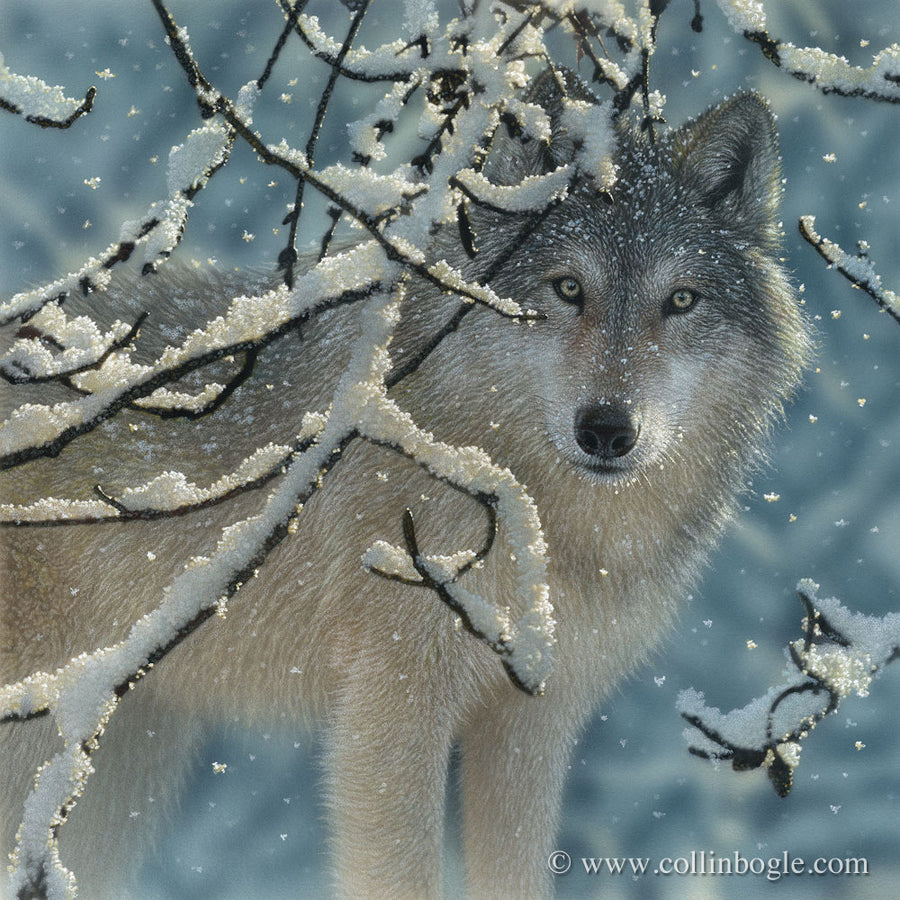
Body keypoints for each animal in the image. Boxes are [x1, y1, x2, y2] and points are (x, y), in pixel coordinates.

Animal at [1, 70, 810, 899]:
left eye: (680, 301)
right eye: (567, 288)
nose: (608, 430)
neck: (543, 522)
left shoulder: (533, 723)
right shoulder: (393, 704)